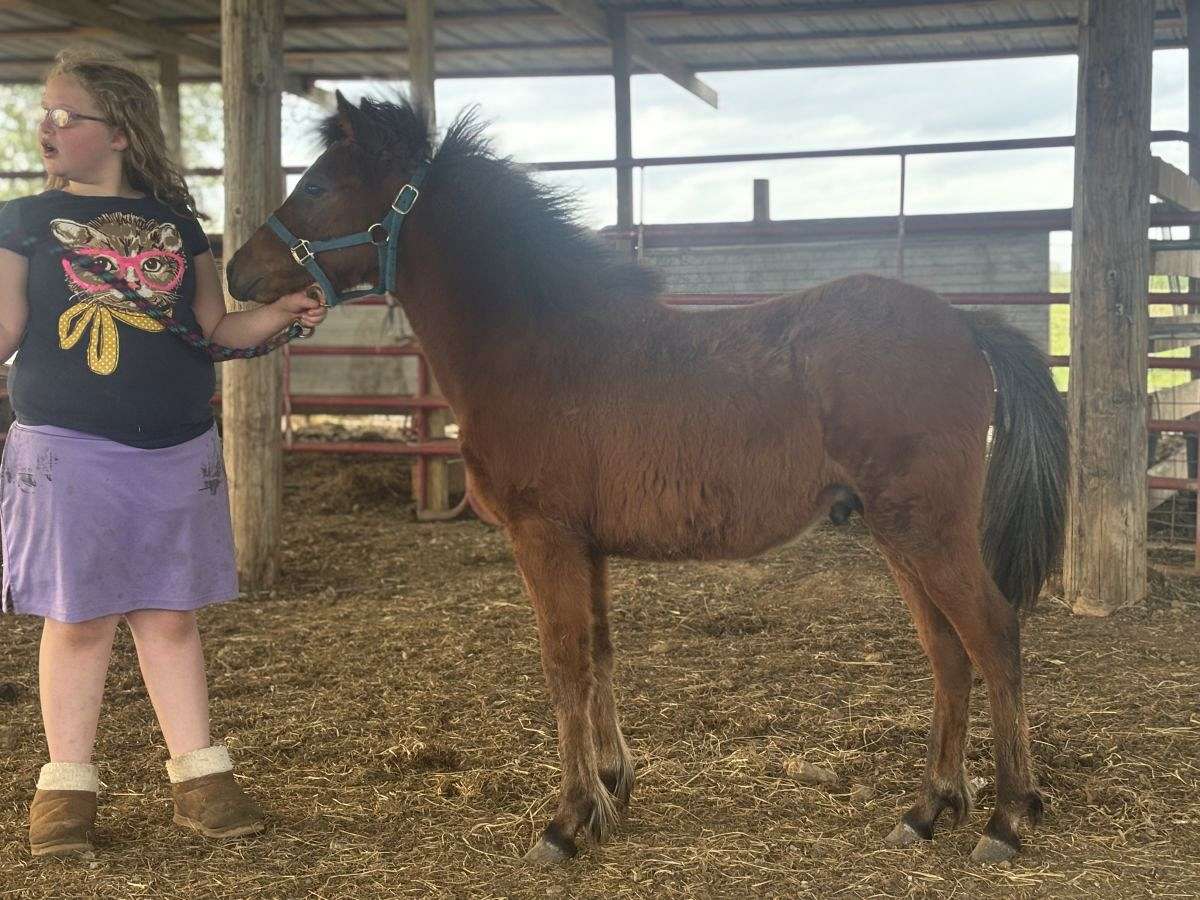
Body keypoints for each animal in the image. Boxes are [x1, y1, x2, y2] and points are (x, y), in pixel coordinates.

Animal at [225, 92, 1068, 866]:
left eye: (320, 186)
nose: (236, 272)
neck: (539, 345)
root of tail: (966, 325)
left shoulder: (544, 537)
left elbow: (563, 665)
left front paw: (566, 822)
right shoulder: (587, 546)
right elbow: (598, 655)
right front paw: (610, 789)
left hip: (927, 530)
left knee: (994, 636)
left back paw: (1007, 818)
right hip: (896, 533)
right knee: (948, 652)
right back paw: (926, 810)